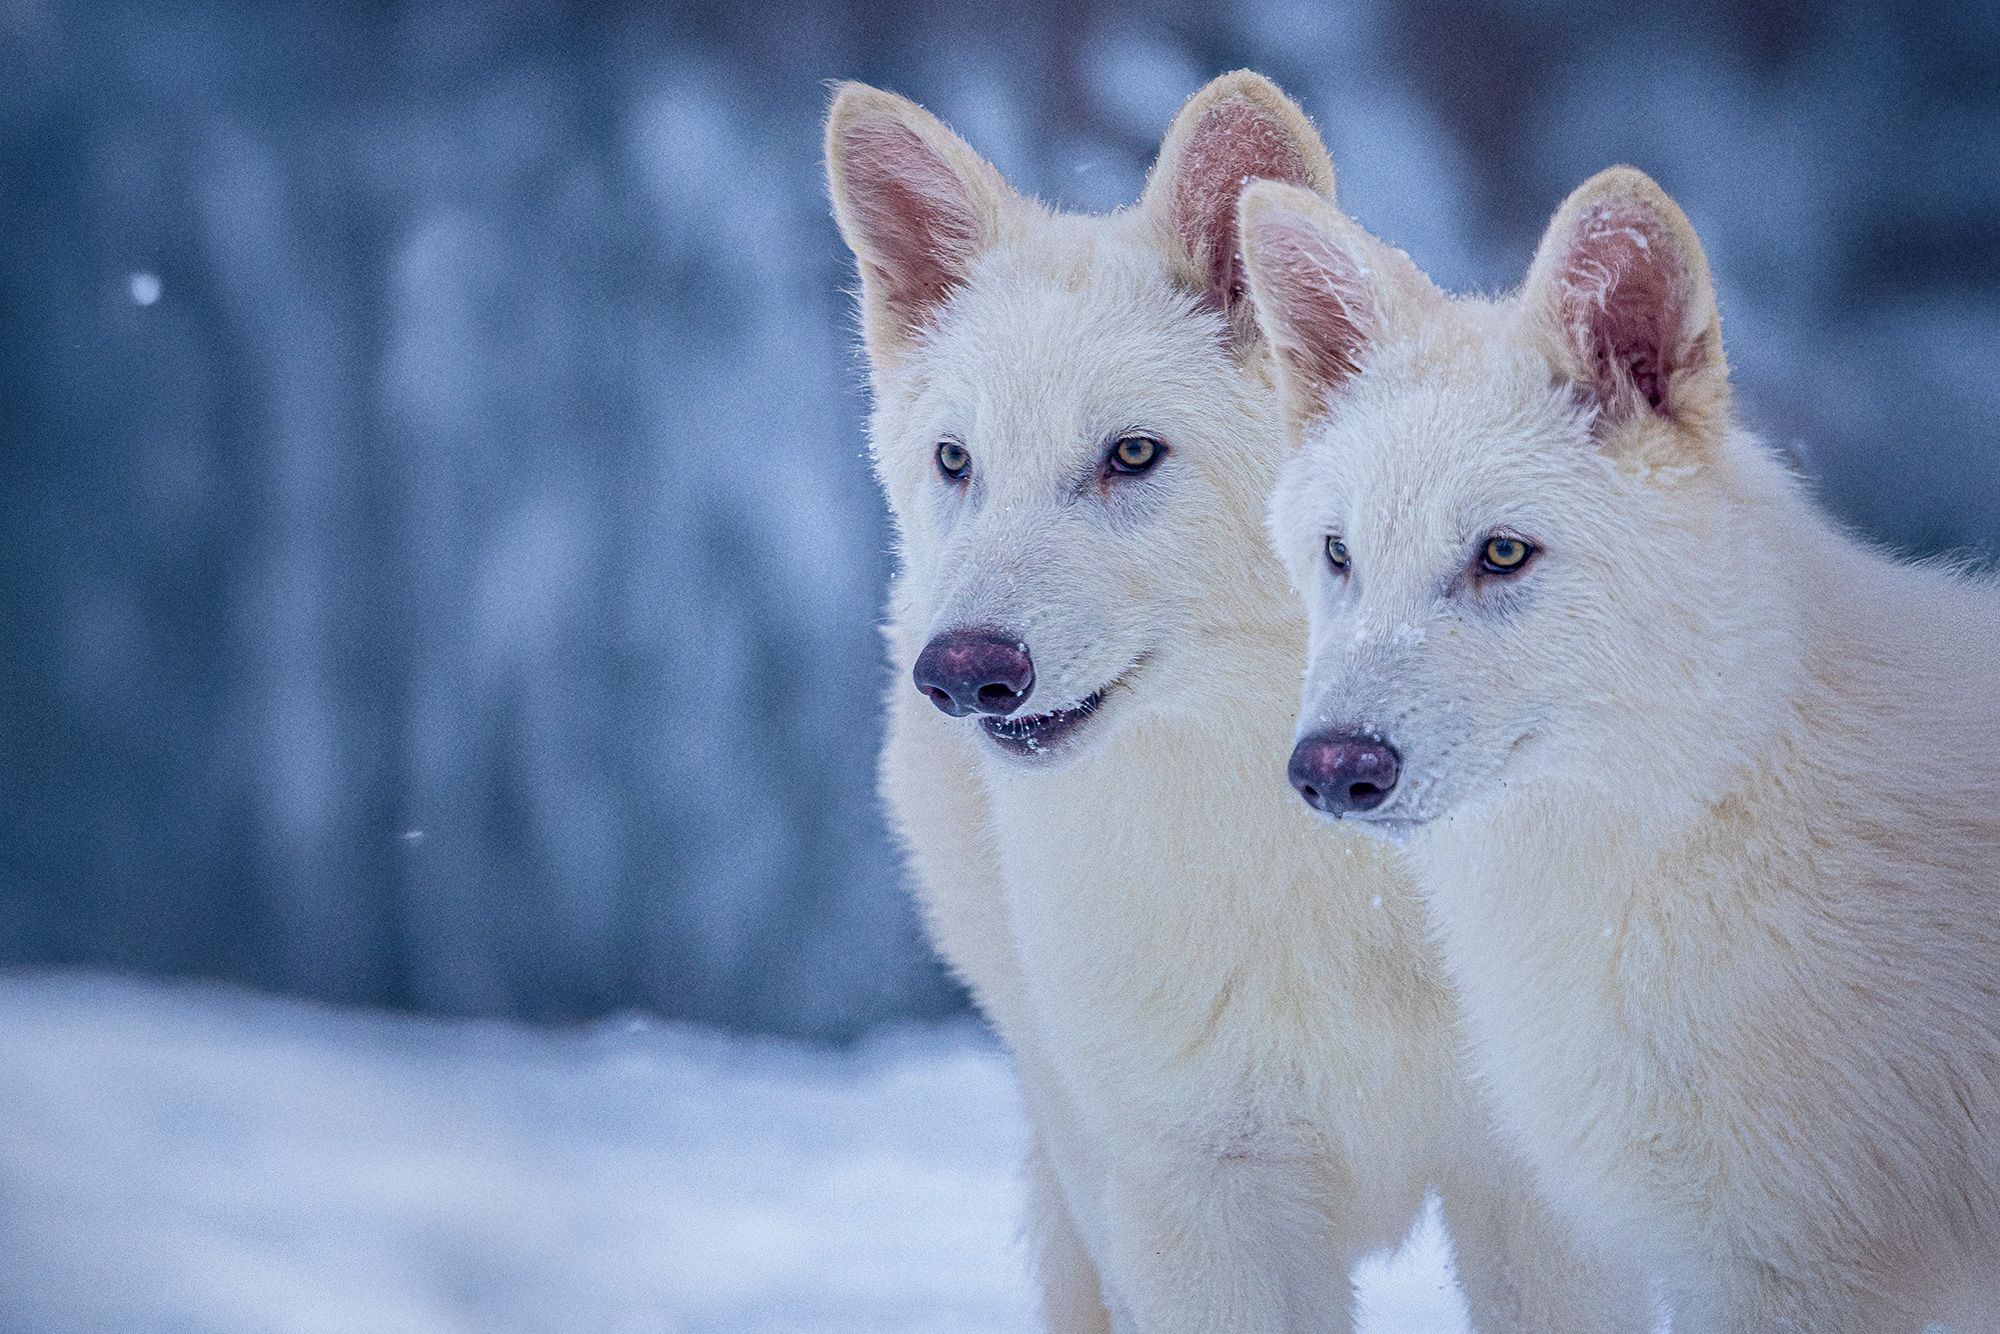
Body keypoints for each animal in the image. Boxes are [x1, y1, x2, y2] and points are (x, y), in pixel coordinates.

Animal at [825, 72, 1645, 1332]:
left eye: (1130, 454)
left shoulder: (1536, 1191)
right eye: (957, 461)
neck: (1322, 872)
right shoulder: (1195, 1196)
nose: (962, 669)